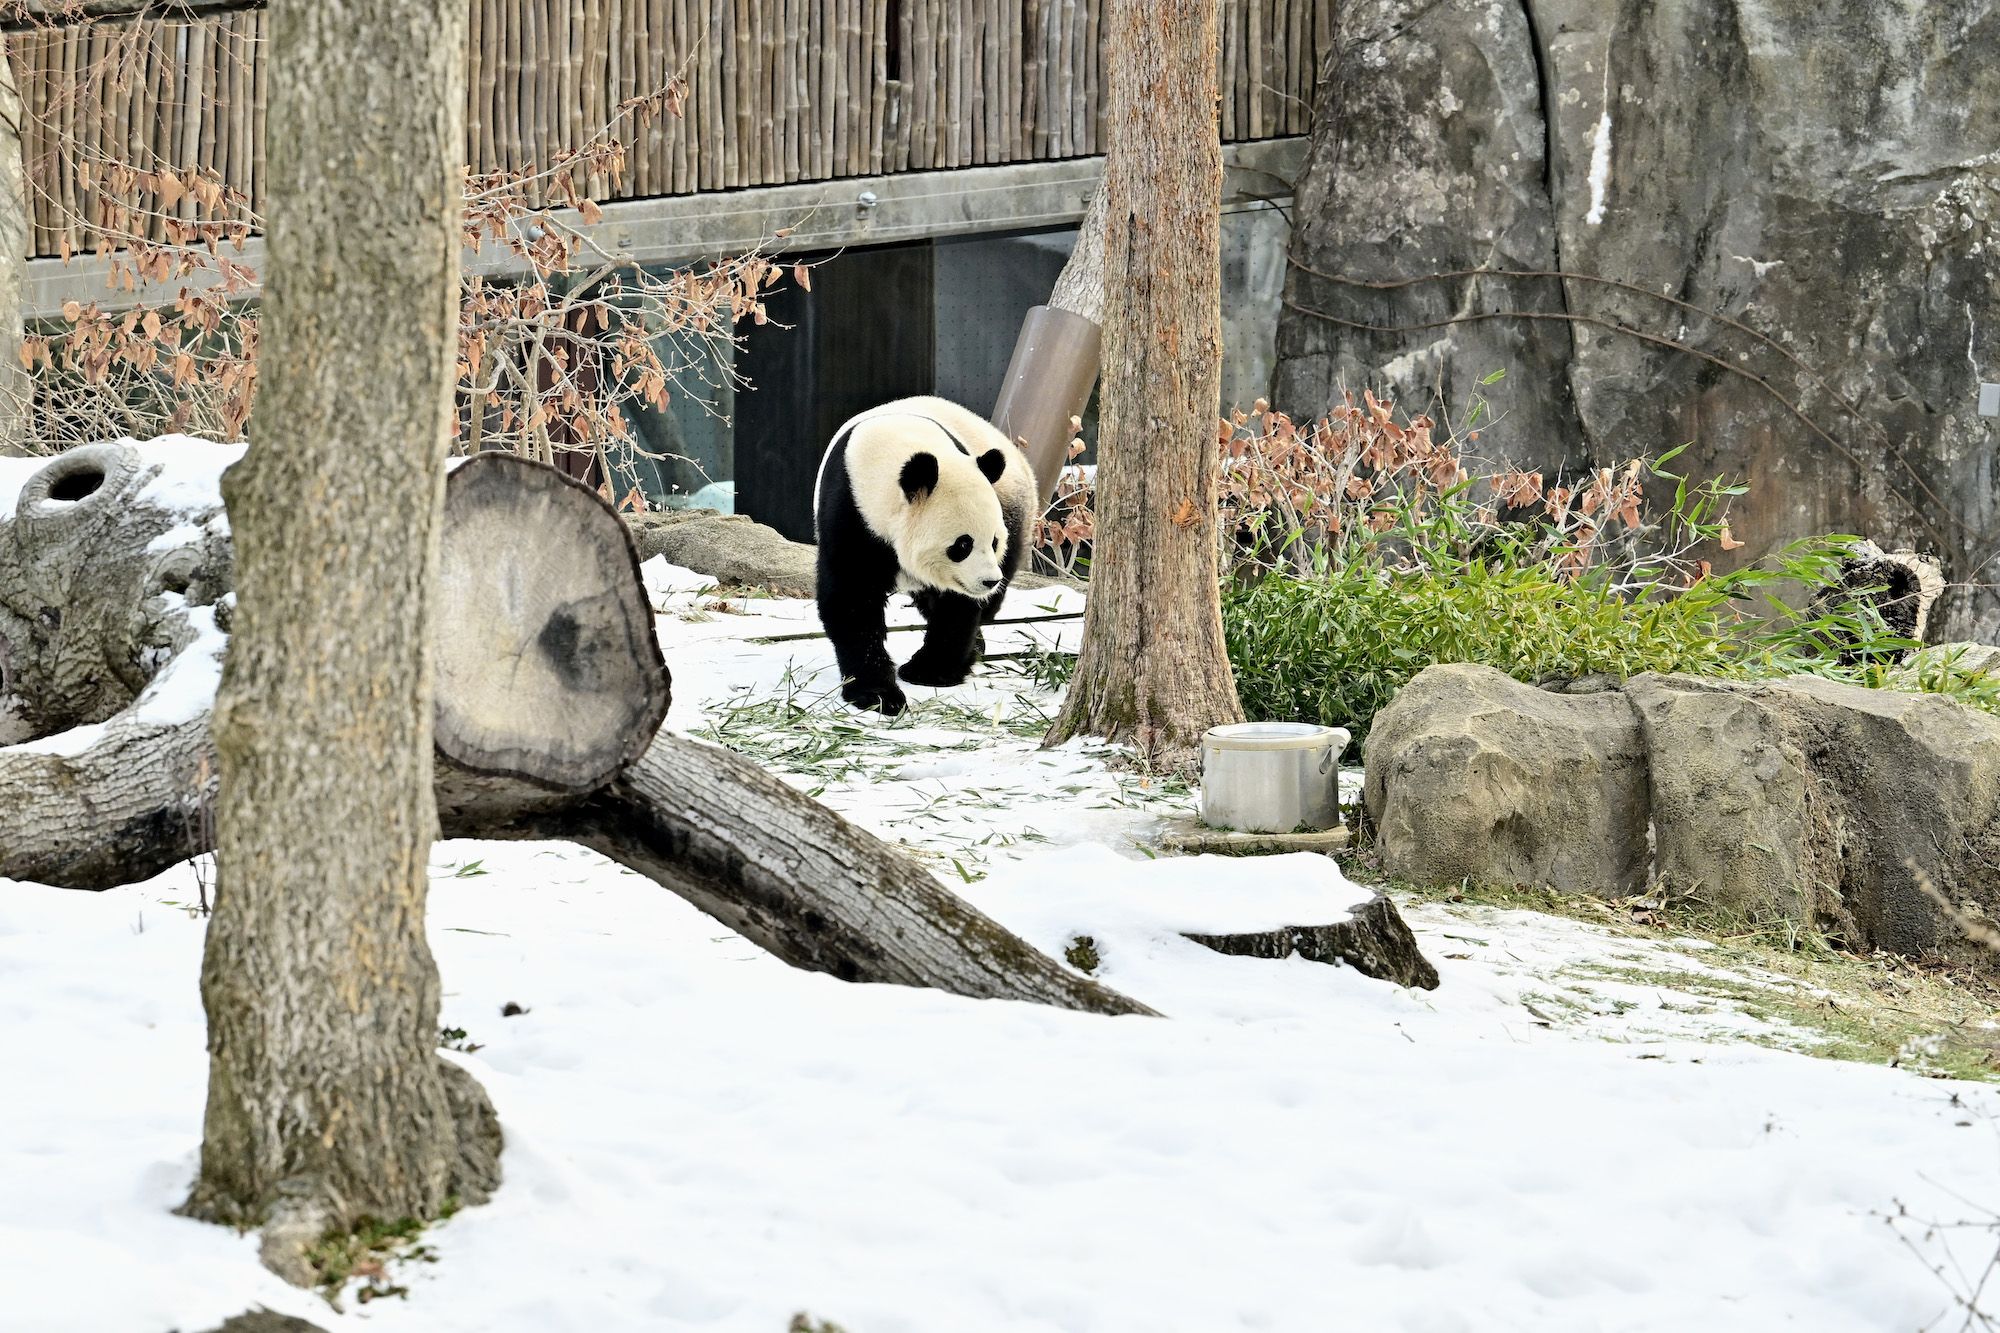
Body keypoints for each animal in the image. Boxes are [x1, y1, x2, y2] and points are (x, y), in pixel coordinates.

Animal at [814, 395, 1036, 715]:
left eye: (994, 541)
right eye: (963, 545)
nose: (989, 581)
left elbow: (957, 606)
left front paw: (930, 672)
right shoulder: (849, 511)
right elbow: (851, 598)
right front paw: (878, 694)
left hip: (1013, 506)